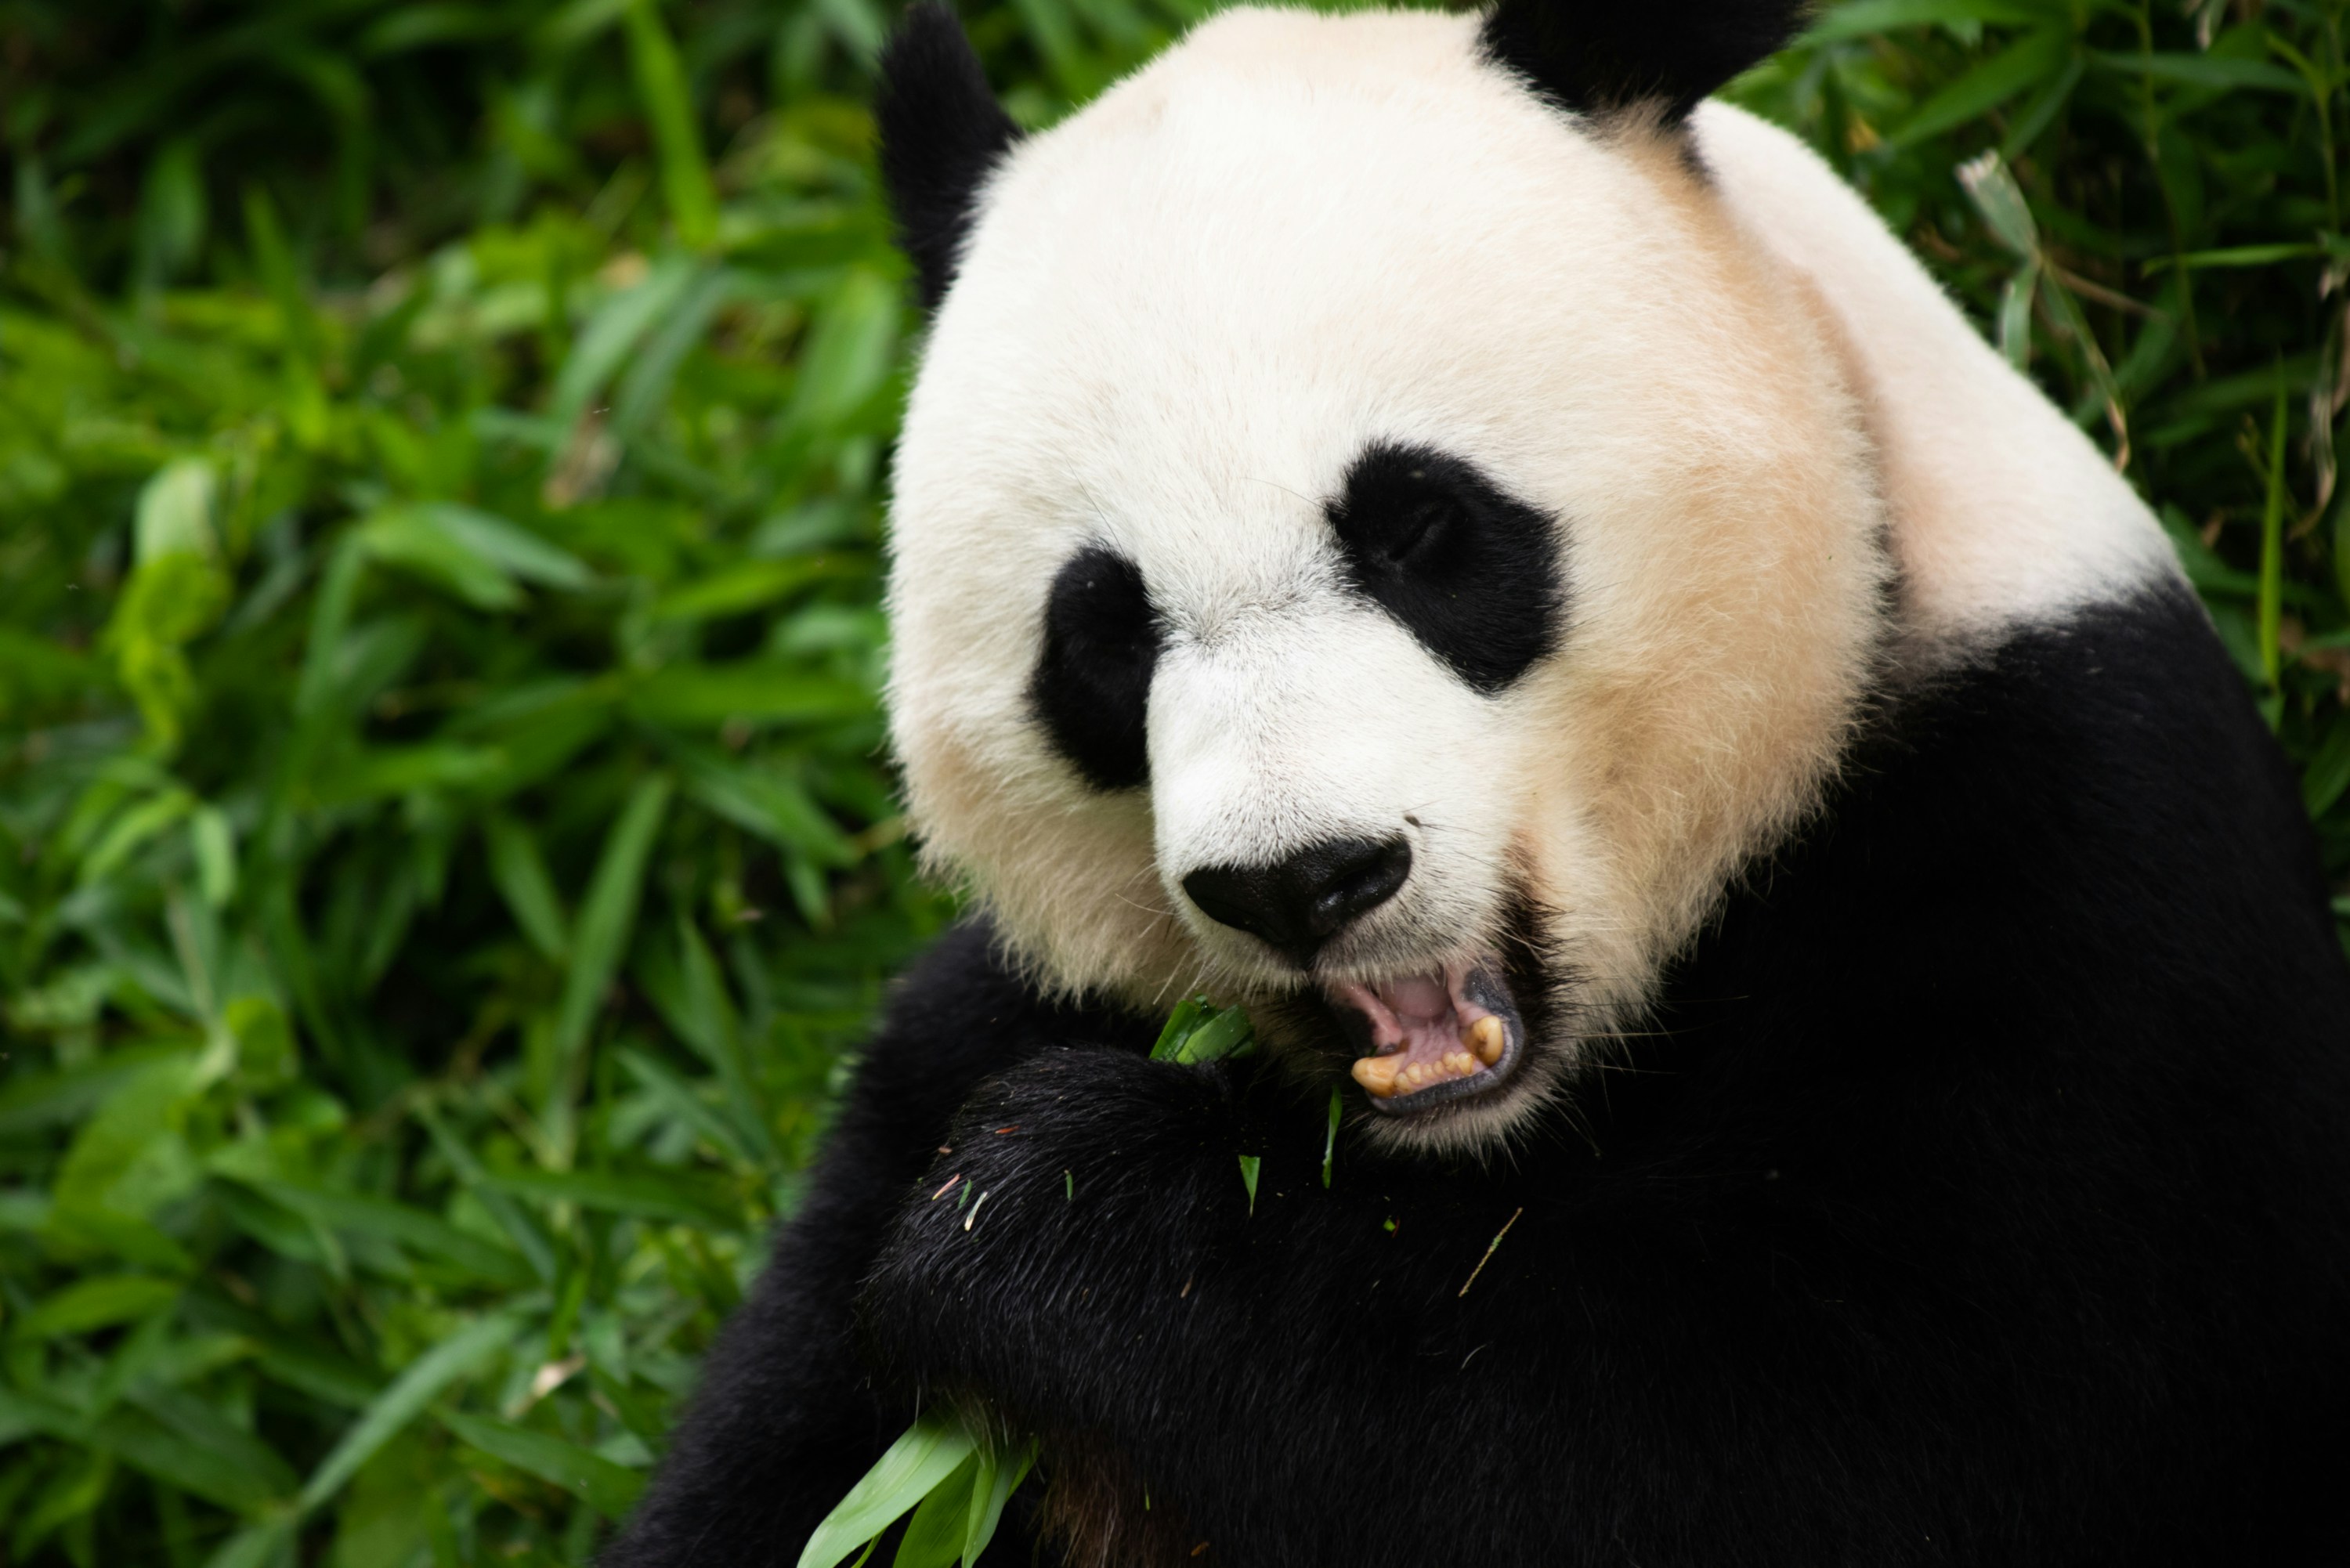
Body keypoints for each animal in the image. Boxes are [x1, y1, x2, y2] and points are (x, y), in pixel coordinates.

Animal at [604, 1, 2350, 1563]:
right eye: (1100, 631)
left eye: (1424, 528)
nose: (1300, 878)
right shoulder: (975, 1029)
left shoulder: (2075, 873)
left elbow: (1817, 1442)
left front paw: (1052, 1207)